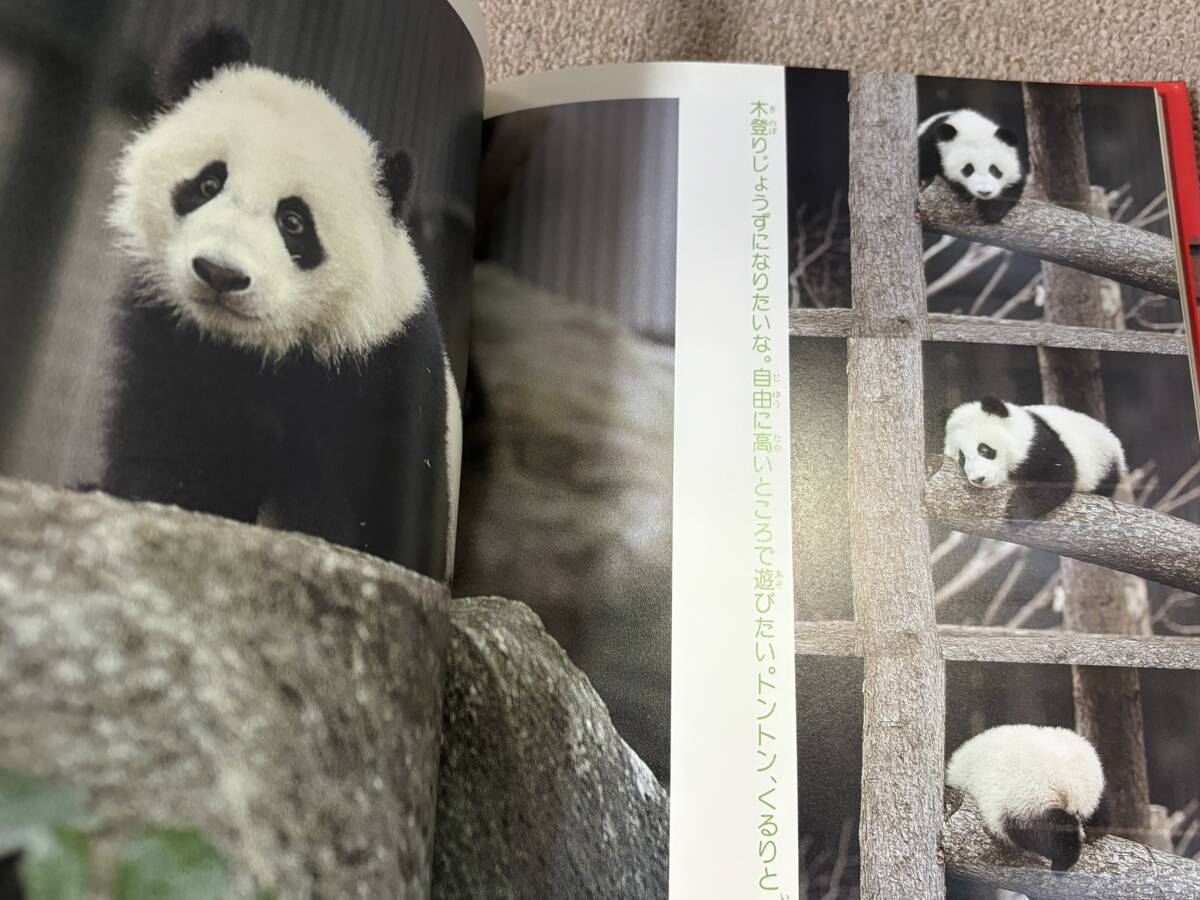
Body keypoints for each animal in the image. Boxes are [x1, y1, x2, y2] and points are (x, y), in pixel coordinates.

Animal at [102, 25, 461, 580]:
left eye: (293, 222)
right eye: (208, 182)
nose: (221, 274)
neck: (260, 349)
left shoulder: (381, 373)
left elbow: (360, 508)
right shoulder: (173, 344)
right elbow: (172, 452)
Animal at [943, 396, 1126, 521]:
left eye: (983, 449)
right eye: (962, 458)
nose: (978, 479)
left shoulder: (1037, 442)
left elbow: (1059, 474)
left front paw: (1017, 510)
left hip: (1103, 460)